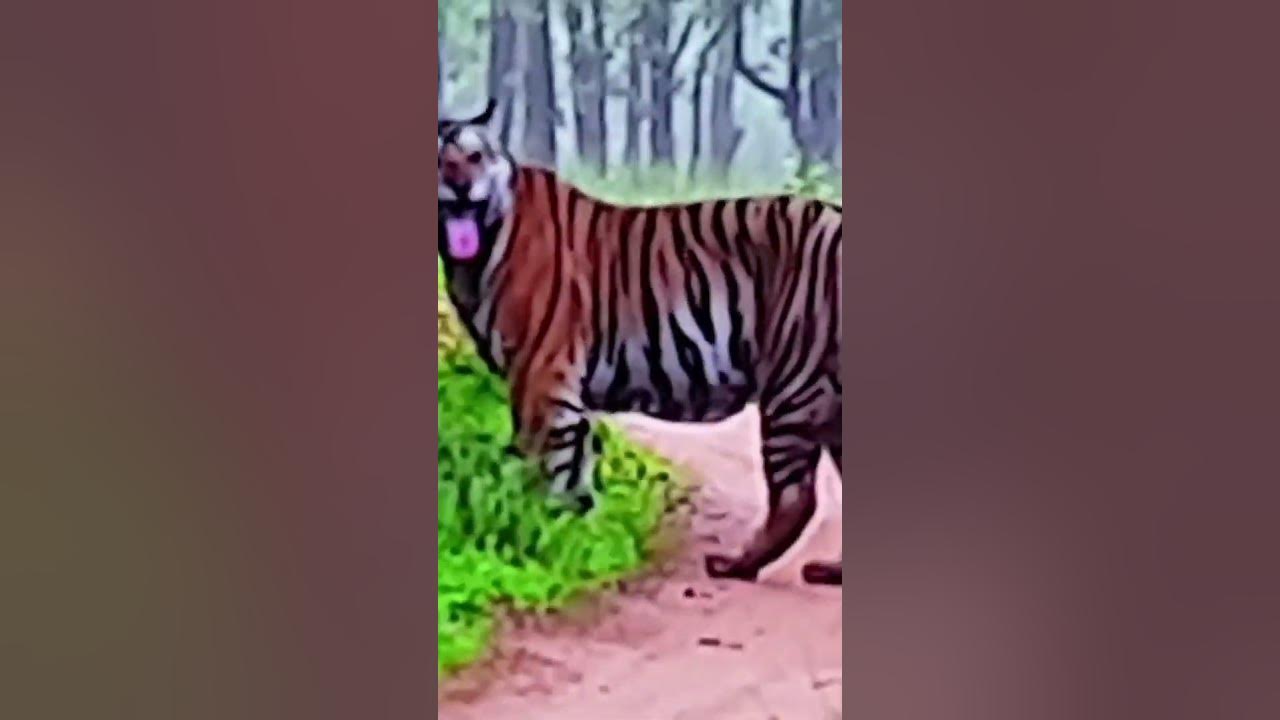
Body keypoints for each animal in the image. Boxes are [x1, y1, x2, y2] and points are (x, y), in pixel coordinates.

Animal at [437, 99, 843, 586]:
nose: (460, 185)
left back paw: (735, 565)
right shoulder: (566, 390)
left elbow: (540, 463)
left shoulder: (539, 375)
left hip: (792, 381)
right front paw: (582, 536)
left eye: (474, 156)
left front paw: (537, 535)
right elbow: (576, 466)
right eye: (440, 160)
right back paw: (829, 570)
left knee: (796, 498)